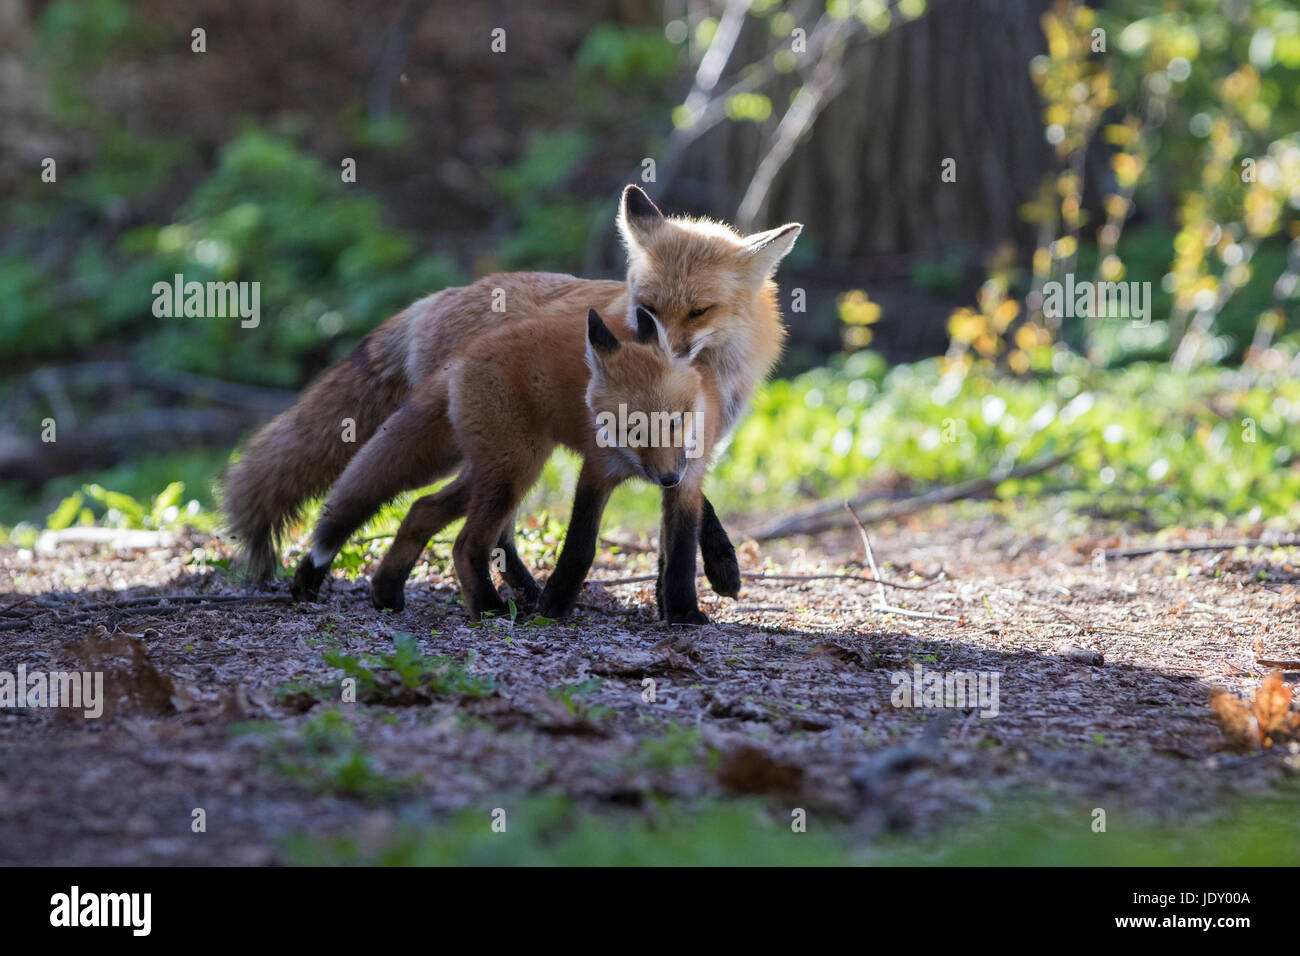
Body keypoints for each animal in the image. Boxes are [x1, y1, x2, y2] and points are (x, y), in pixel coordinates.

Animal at [288, 307, 719, 619]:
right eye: (633, 430)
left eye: (675, 422)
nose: (666, 477)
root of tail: (462, 356)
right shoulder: (597, 470)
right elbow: (580, 545)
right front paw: (553, 608)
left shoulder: (689, 479)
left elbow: (681, 553)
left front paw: (684, 615)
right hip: (514, 470)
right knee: (464, 545)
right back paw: (489, 608)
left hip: (488, 470)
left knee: (421, 510)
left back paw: (388, 592)